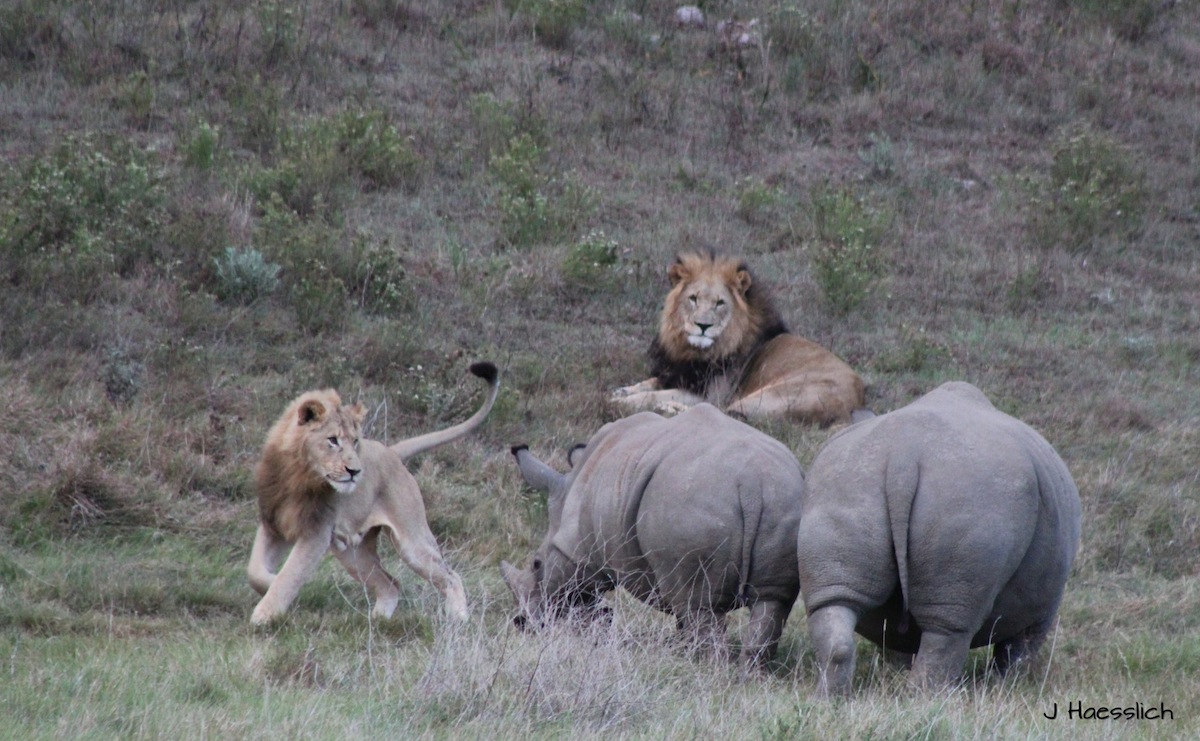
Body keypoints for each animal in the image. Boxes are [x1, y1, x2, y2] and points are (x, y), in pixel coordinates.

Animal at [246, 362, 500, 625]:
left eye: (356, 441)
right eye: (333, 440)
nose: (355, 471)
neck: (298, 475)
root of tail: (392, 452)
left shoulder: (316, 533)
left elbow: (291, 574)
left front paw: (264, 614)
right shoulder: (273, 524)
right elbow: (254, 570)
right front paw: (269, 582)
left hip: (412, 543)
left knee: (450, 576)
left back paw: (458, 618)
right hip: (353, 552)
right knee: (390, 584)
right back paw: (378, 621)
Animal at [501, 404, 806, 666]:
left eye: (536, 564)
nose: (522, 624)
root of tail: (752, 485)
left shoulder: (586, 552)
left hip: (689, 508)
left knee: (701, 605)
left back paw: (707, 668)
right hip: (782, 500)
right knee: (771, 602)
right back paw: (746, 675)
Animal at [610, 251, 865, 426]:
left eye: (719, 303)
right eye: (693, 298)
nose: (703, 326)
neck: (694, 351)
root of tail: (852, 407)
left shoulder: (709, 393)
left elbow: (652, 395)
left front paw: (621, 402)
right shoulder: (678, 373)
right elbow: (649, 383)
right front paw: (622, 391)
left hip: (771, 395)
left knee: (723, 413)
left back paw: (667, 408)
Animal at [796, 382, 1081, 695]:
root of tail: (903, 456)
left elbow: (895, 638)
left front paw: (896, 669)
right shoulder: (1045, 604)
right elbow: (1019, 647)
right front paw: (1010, 684)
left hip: (846, 483)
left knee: (834, 601)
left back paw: (830, 697)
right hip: (974, 499)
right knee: (950, 627)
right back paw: (929, 698)